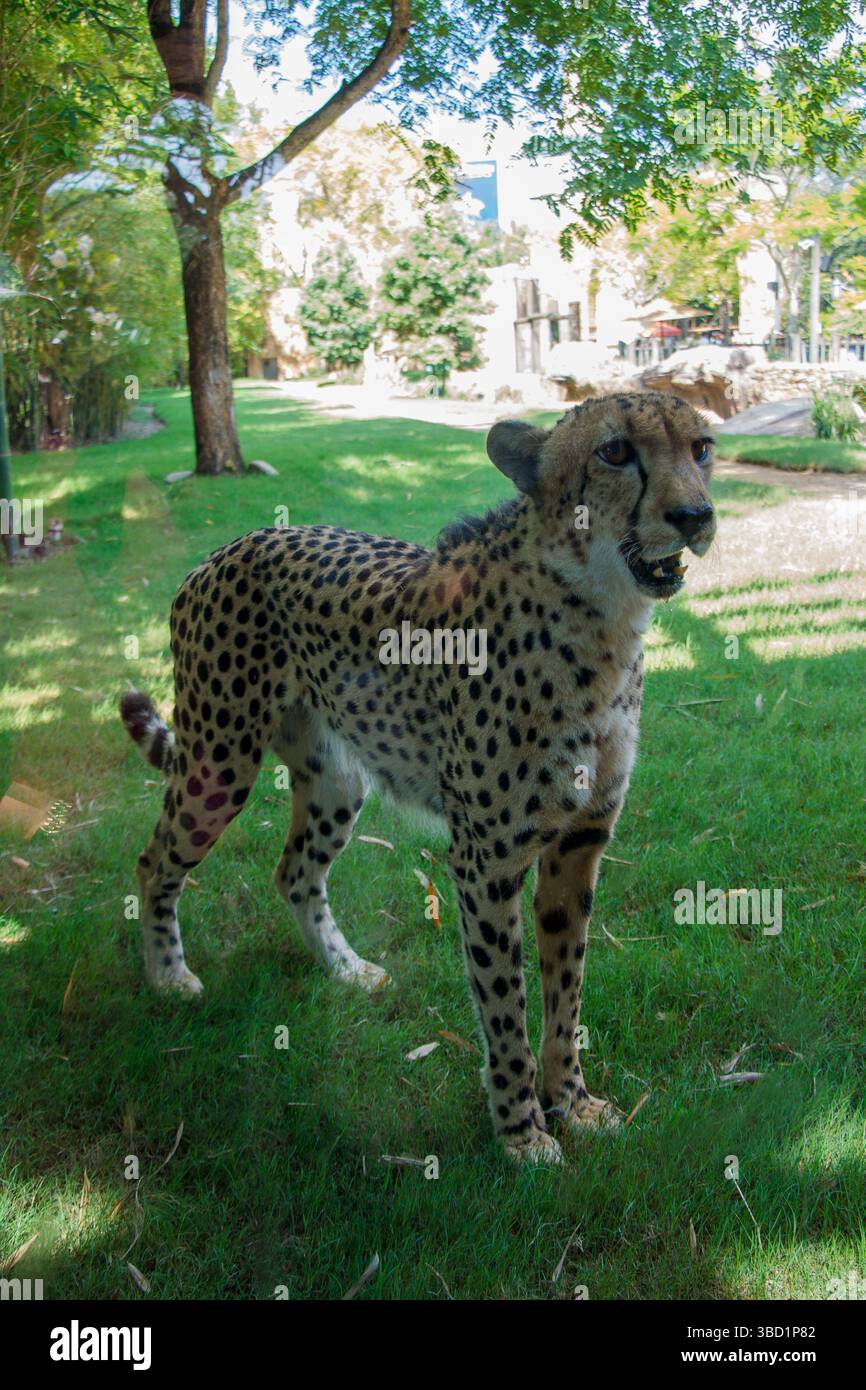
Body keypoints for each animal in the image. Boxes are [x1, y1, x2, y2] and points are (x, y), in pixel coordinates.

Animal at [120, 390, 716, 1164]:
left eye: (701, 448)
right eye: (616, 452)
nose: (695, 516)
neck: (601, 619)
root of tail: (228, 547)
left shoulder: (579, 845)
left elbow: (566, 991)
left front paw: (573, 1104)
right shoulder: (487, 862)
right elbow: (505, 1007)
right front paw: (521, 1133)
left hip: (338, 780)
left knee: (294, 871)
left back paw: (343, 968)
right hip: (218, 762)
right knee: (155, 860)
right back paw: (167, 974)